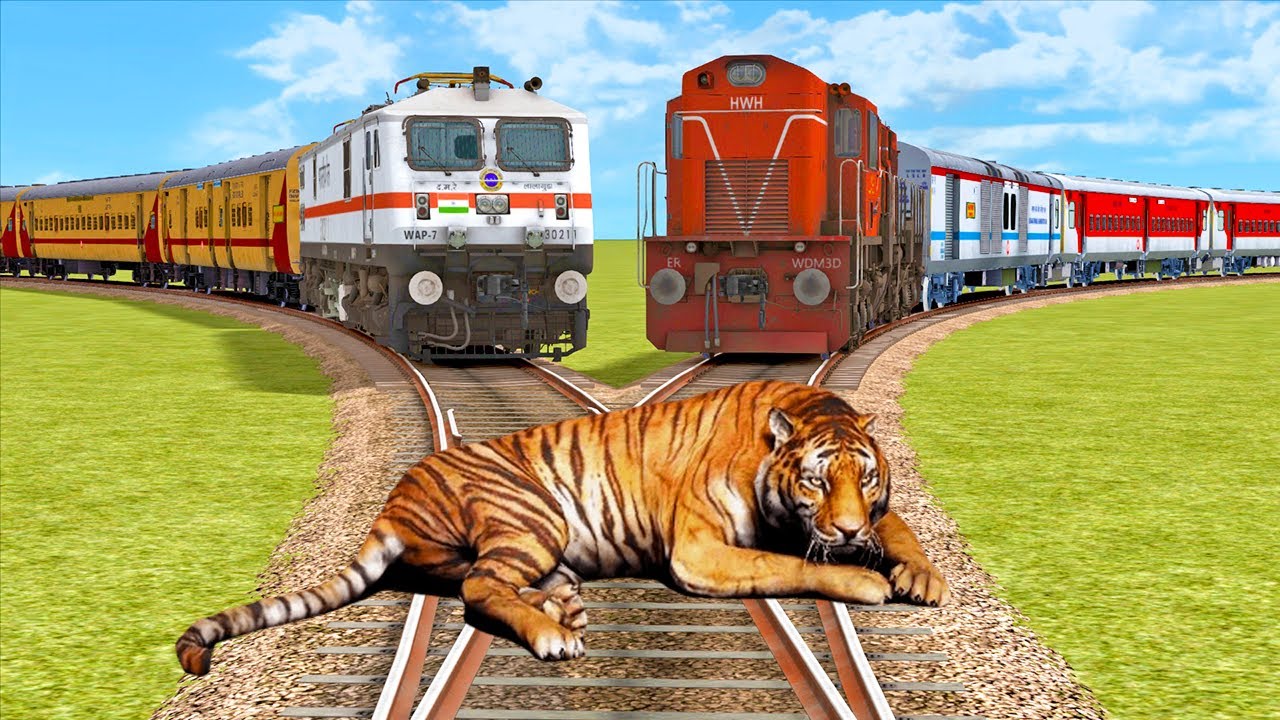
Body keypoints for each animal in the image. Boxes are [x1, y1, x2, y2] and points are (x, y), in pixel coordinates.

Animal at [176, 379, 949, 674]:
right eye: (817, 479)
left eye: (865, 478)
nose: (846, 530)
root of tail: (395, 495)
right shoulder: (700, 551)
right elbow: (791, 564)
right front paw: (863, 579)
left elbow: (900, 527)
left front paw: (922, 575)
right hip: (532, 512)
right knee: (480, 588)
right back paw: (554, 632)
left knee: (479, 578)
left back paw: (563, 602)